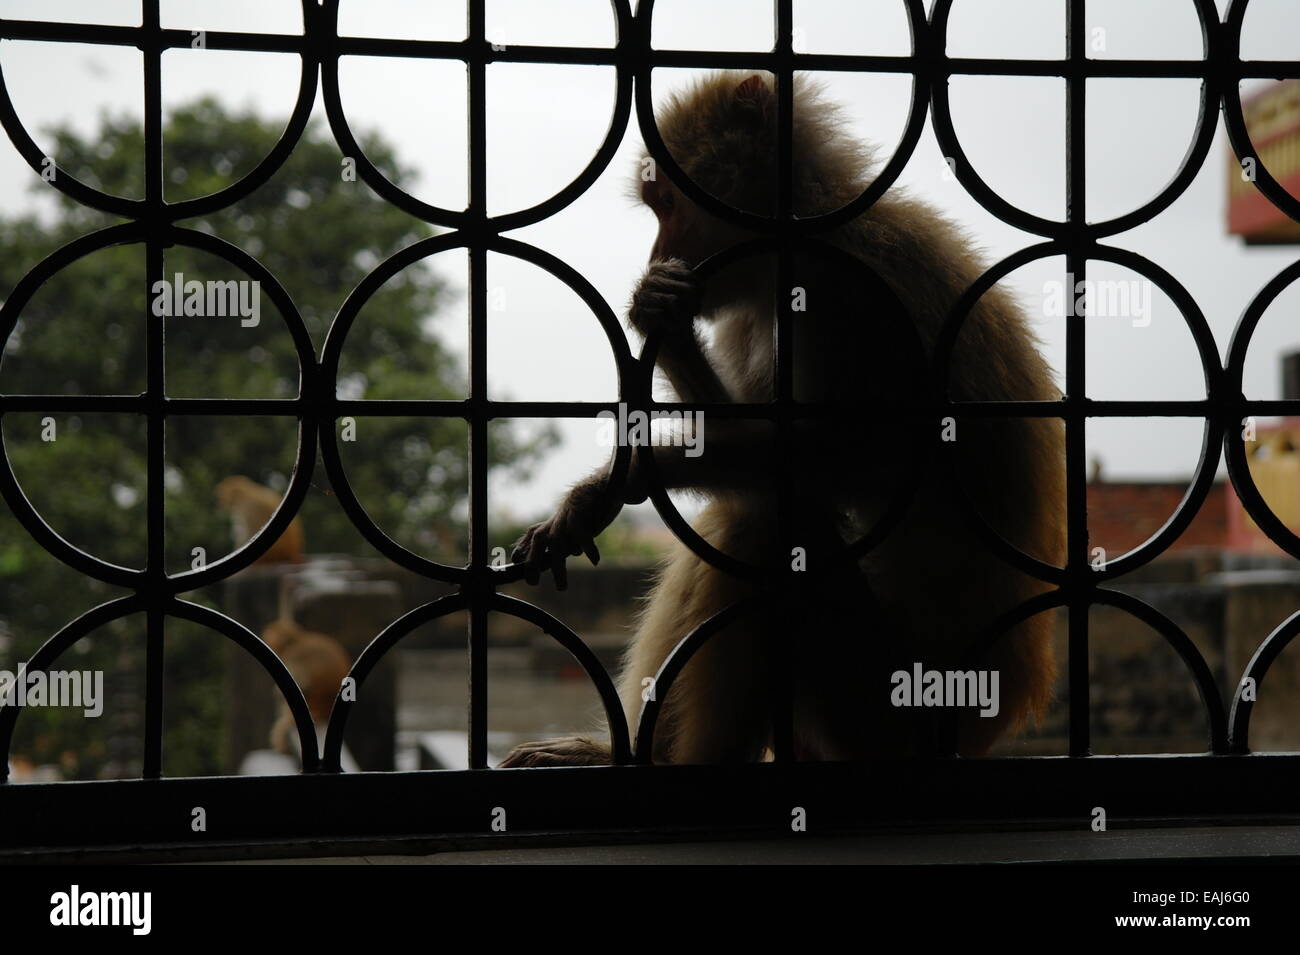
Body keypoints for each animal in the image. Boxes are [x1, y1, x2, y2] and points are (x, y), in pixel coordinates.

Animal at [260, 618, 352, 755]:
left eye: (271, 629)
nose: (266, 633)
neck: (294, 641)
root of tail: (324, 711)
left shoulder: (295, 657)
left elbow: (304, 684)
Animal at [501, 72, 1066, 767]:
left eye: (669, 206)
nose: (658, 250)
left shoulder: (838, 296)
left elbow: (829, 460)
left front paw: (615, 480)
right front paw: (664, 323)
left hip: (881, 711)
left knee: (762, 528)